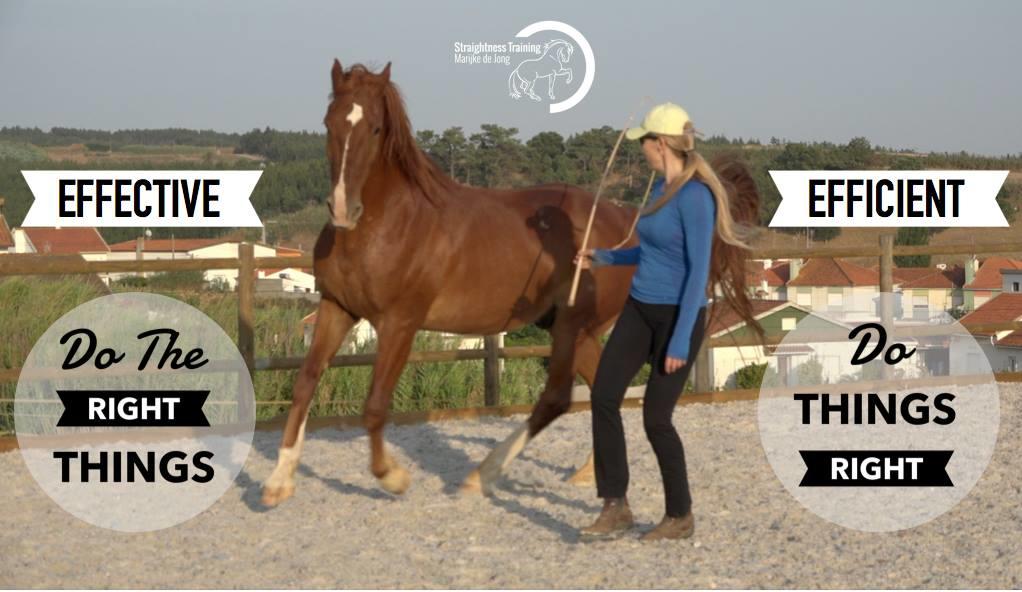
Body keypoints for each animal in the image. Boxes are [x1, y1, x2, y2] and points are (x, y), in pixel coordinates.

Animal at [261, 60, 760, 506]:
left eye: (377, 129)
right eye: (329, 123)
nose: (343, 209)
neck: (385, 224)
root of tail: (627, 224)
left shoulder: (400, 322)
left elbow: (375, 405)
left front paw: (393, 477)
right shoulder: (336, 308)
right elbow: (304, 384)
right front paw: (277, 484)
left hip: (571, 325)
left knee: (557, 397)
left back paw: (483, 475)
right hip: (573, 329)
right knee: (600, 386)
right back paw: (585, 471)